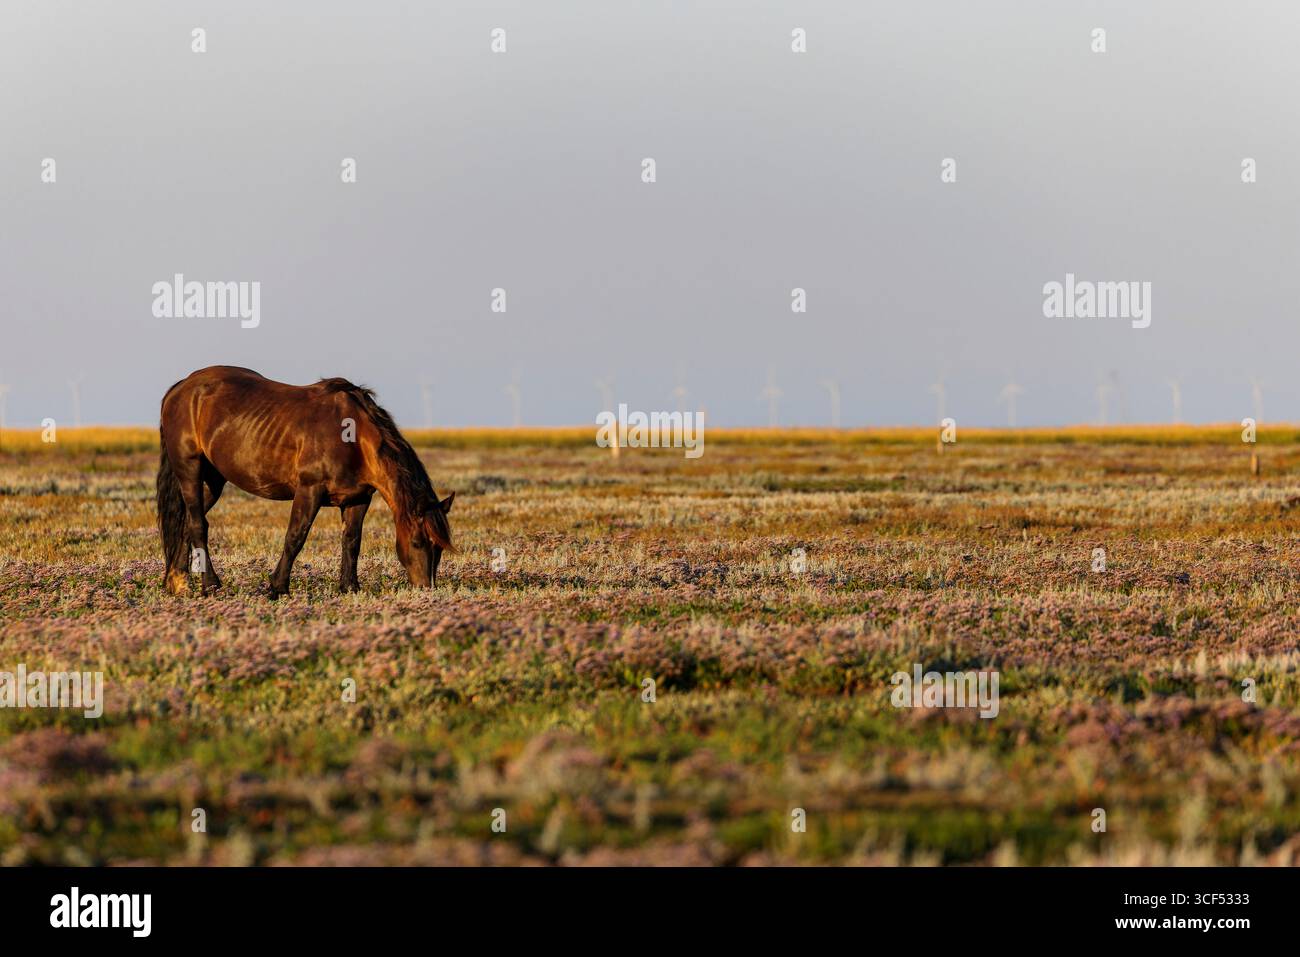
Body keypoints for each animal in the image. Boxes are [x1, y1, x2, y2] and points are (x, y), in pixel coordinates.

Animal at [156, 366, 454, 597]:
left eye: (439, 547)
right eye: (417, 542)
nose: (426, 589)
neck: (353, 437)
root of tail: (181, 388)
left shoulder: (358, 499)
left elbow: (352, 541)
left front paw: (350, 588)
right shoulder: (309, 491)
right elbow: (295, 537)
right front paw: (277, 587)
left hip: (212, 481)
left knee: (187, 524)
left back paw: (178, 583)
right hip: (190, 471)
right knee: (198, 524)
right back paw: (210, 585)